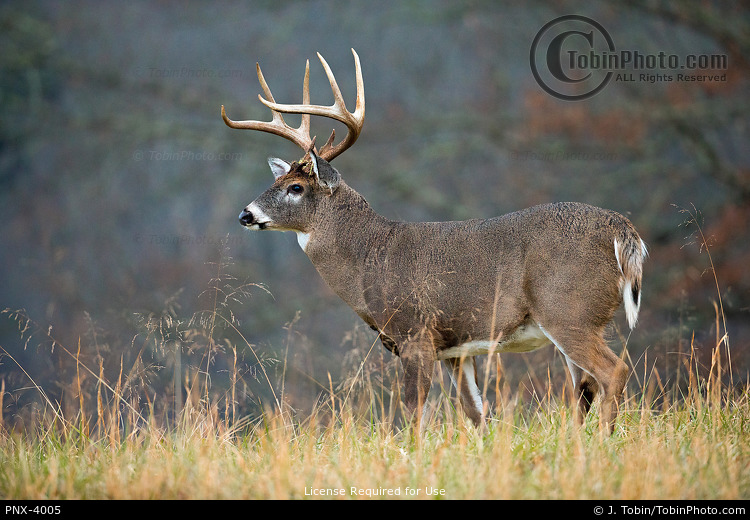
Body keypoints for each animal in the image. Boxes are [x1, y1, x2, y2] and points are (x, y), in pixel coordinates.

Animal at [221, 49, 647, 433]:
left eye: (295, 187)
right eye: (277, 180)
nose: (245, 214)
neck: (368, 257)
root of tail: (621, 229)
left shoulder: (415, 331)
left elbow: (414, 411)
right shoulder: (456, 348)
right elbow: (475, 411)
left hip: (568, 309)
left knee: (612, 372)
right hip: (583, 318)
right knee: (584, 387)